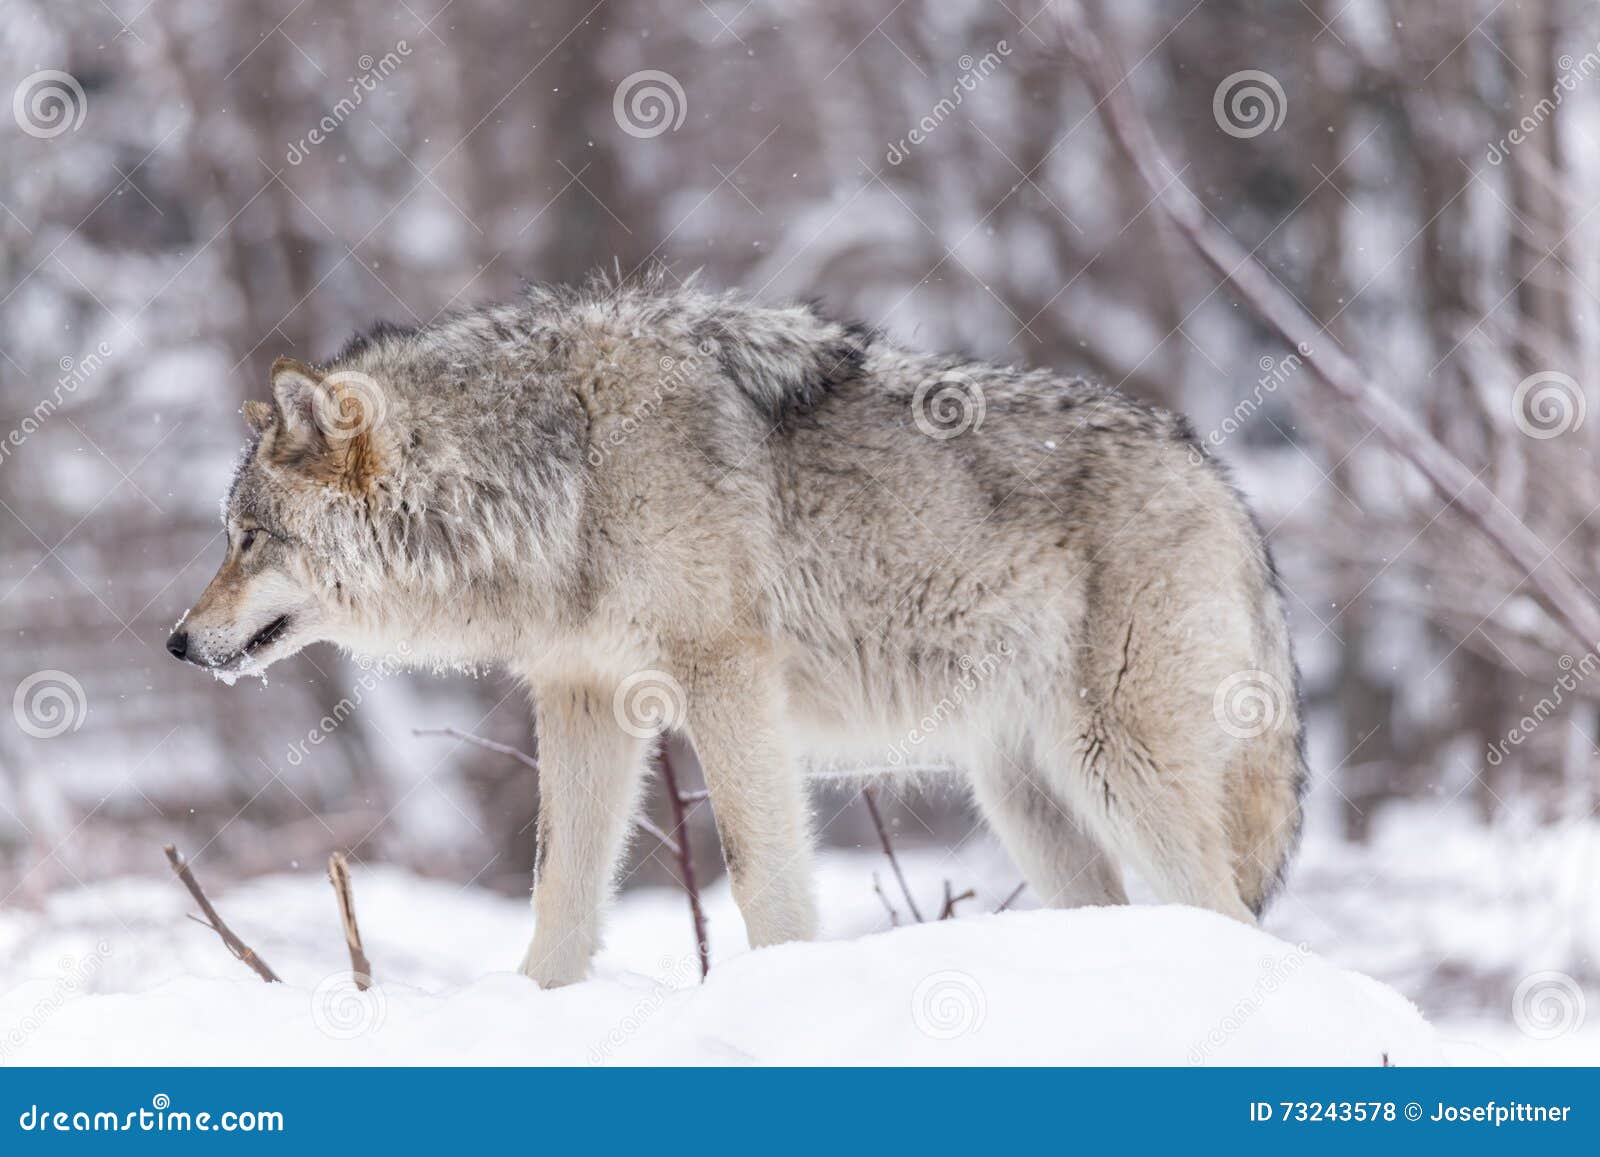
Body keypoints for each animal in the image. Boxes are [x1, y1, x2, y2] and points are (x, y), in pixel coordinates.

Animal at [168, 274, 1306, 987]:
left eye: (249, 538)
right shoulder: (583, 695)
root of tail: (1225, 484)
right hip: (1026, 795)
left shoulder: (726, 678)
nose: (178, 642)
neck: (562, 470)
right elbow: (559, 892)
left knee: (1233, 912)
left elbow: (765, 877)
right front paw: (536, 1009)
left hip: (1118, 771)